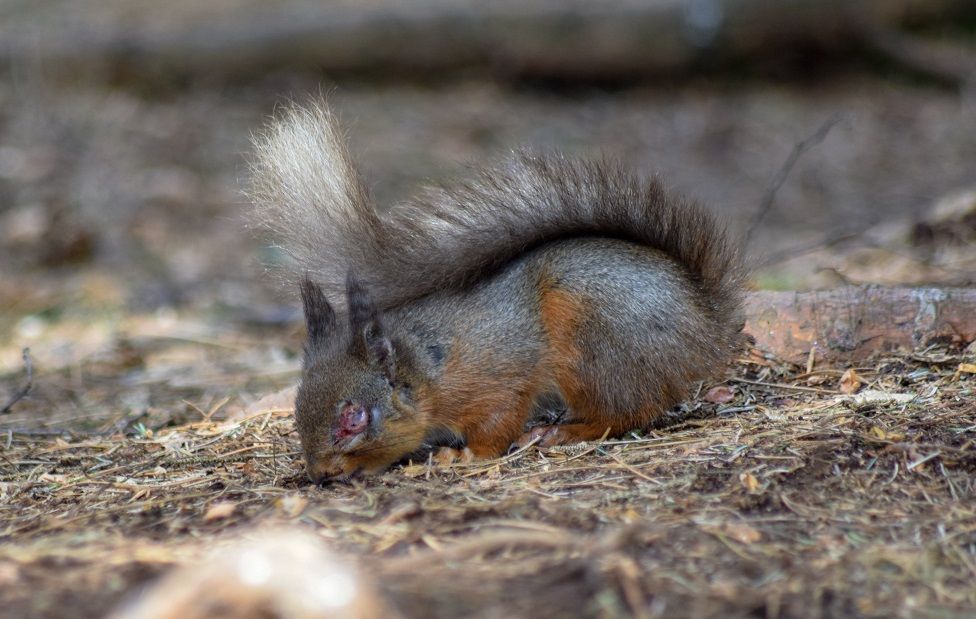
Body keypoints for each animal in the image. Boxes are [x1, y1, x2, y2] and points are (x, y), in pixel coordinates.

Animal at [249, 100, 745, 484]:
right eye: (297, 410)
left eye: (353, 418)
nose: (320, 474)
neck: (427, 368)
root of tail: (706, 322)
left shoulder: (498, 377)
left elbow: (496, 424)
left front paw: (462, 455)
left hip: (594, 341)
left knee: (629, 411)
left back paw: (564, 432)